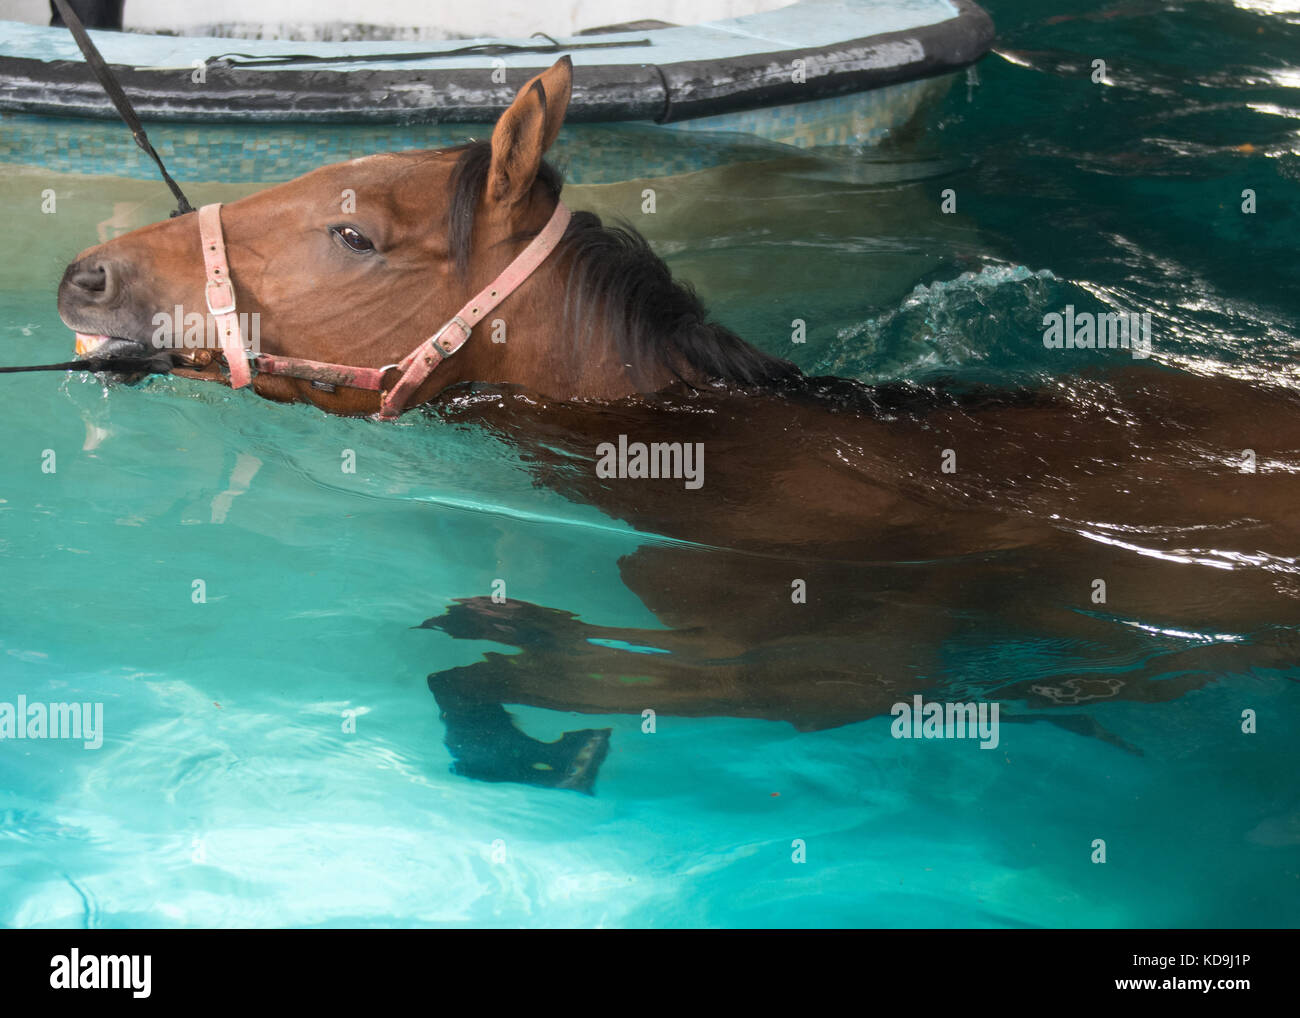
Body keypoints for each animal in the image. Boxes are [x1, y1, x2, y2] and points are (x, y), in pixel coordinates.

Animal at [57, 57, 1300, 792]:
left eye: (354, 234)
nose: (88, 275)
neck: (733, 453)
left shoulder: (822, 674)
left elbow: (521, 673)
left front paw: (536, 739)